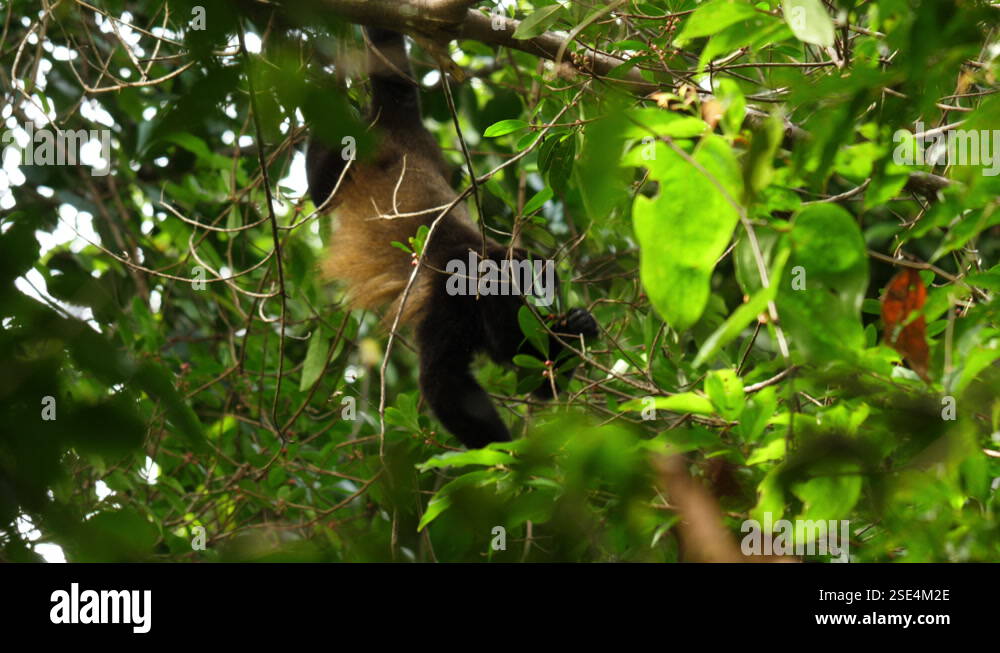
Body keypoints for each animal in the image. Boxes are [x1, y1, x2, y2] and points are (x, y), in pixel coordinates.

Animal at [306, 27, 598, 449]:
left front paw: (579, 326)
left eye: (550, 294)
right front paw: (506, 455)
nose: (545, 313)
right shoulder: (452, 293)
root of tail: (400, 129)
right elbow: (444, 380)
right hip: (348, 157)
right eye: (528, 293)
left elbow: (531, 369)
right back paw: (326, 87)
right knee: (322, 185)